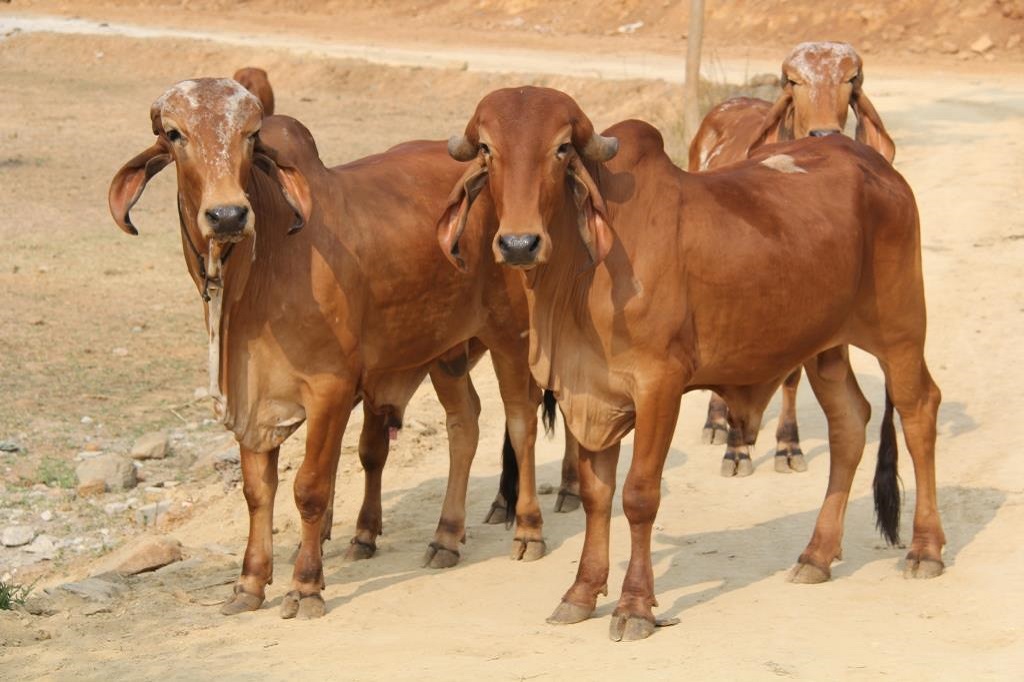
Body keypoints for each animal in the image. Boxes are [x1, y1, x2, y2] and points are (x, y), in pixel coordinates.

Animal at [108, 78, 554, 620]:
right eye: (174, 134)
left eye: (251, 136)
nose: (228, 214)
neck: (261, 265)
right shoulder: (252, 400)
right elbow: (257, 492)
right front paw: (249, 583)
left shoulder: (331, 389)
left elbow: (310, 489)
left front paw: (305, 586)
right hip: (443, 350)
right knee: (464, 423)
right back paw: (446, 537)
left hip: (509, 333)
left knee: (520, 420)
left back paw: (527, 529)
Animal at [440, 86, 944, 641]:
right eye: (487, 149)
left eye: (561, 148)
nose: (518, 244)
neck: (581, 276)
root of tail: (877, 167)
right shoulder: (590, 393)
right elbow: (597, 495)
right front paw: (581, 592)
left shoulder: (659, 385)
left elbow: (639, 496)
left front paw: (634, 606)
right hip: (825, 346)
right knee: (850, 422)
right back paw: (816, 554)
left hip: (900, 328)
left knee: (919, 410)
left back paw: (925, 549)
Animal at [689, 41, 896, 477]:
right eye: (795, 82)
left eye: (850, 79)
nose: (824, 133)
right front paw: (737, 450)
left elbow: (791, 377)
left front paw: (788, 444)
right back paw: (715, 423)